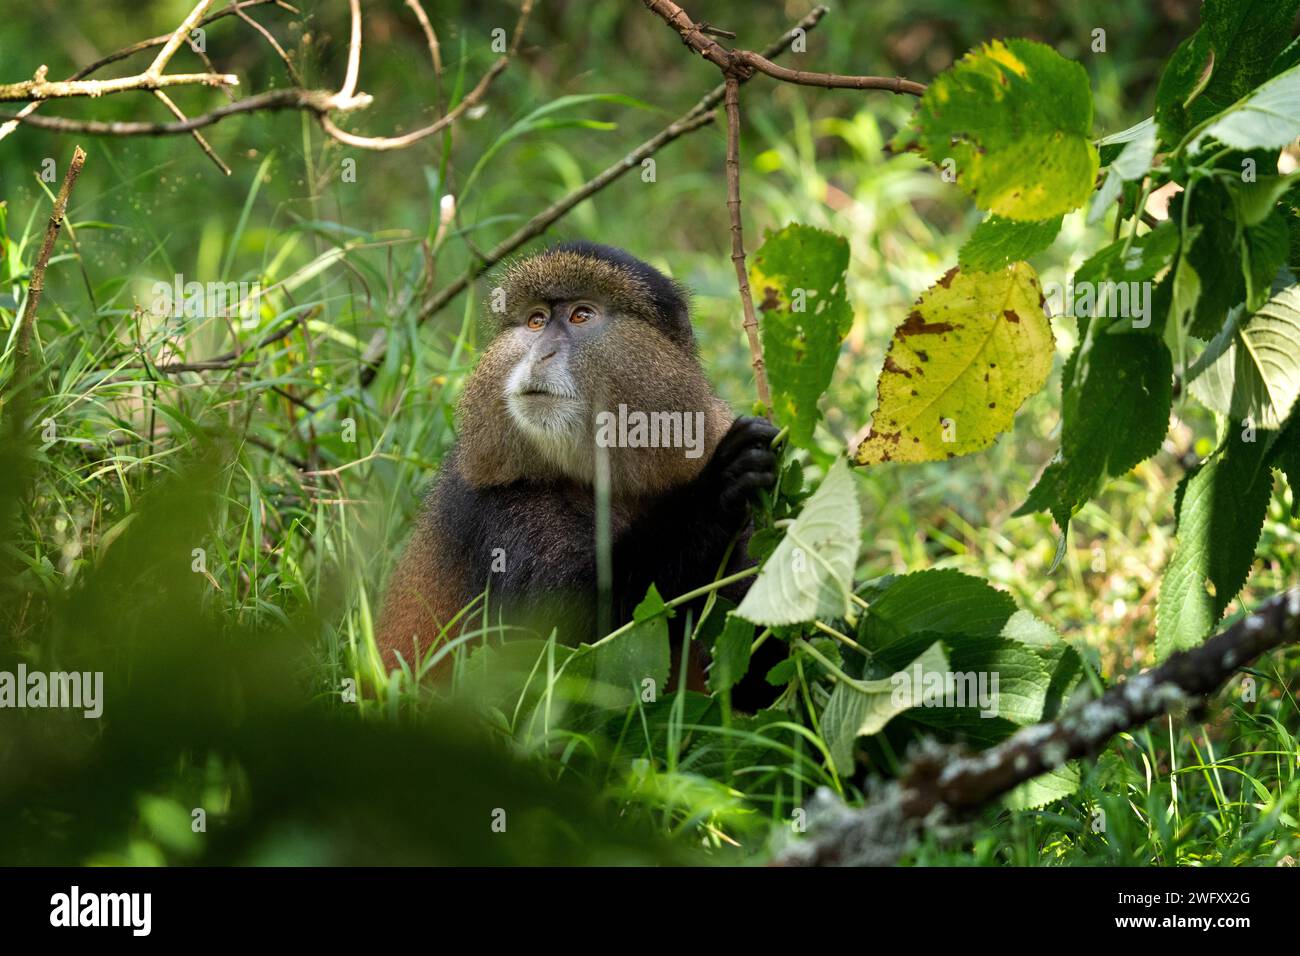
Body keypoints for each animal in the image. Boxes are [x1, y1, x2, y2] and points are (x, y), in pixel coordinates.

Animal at [376, 241, 780, 705]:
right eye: (536, 321)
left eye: (581, 315)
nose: (540, 353)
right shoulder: (500, 504)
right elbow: (559, 632)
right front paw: (717, 487)